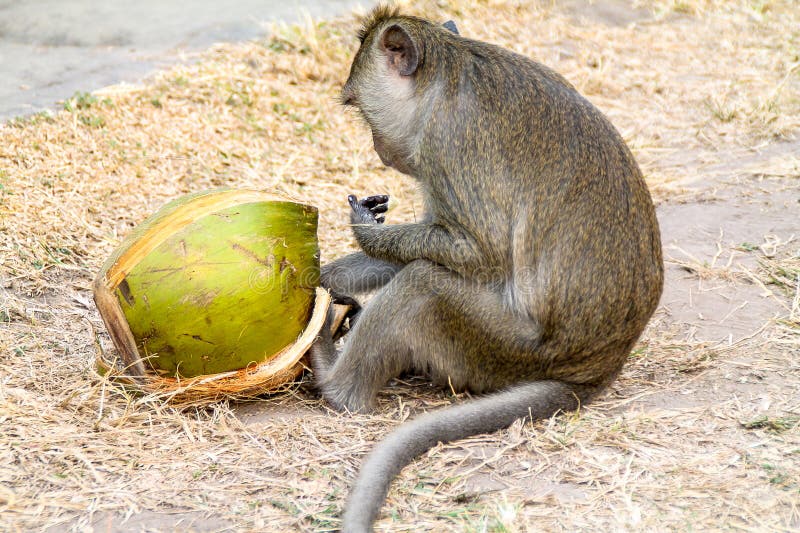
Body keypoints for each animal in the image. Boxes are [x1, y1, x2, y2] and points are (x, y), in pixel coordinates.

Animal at [310, 5, 663, 532]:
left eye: (358, 108)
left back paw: (333, 378)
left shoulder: (448, 143)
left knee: (423, 286)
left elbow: (480, 251)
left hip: (505, 349)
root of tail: (596, 369)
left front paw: (365, 232)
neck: (445, 75)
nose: (377, 147)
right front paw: (318, 277)